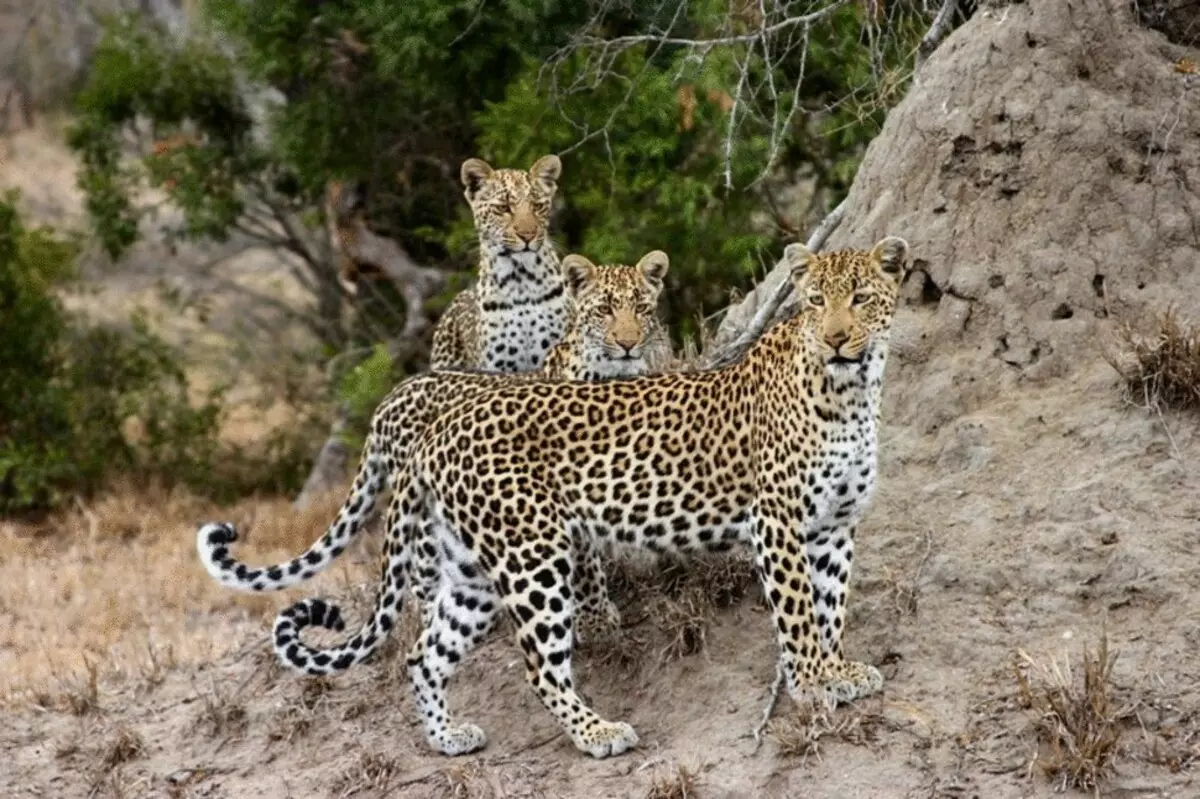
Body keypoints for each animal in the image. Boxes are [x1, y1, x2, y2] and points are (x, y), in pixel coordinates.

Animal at [192, 251, 672, 638]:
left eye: (642, 308)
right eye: (604, 310)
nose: (628, 343)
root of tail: (387, 400)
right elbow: (588, 561)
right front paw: (596, 616)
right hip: (423, 513)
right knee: (421, 581)